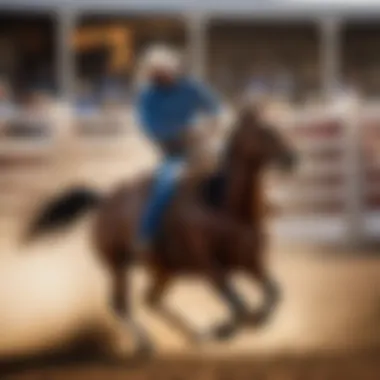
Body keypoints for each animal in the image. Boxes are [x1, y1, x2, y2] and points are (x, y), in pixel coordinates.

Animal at [25, 106, 296, 356]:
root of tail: (103, 200)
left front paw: (243, 323)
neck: (222, 205)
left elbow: (274, 292)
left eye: (281, 124)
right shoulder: (209, 265)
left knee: (151, 300)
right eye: (265, 130)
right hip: (117, 264)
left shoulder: (251, 262)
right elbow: (239, 304)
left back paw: (197, 334)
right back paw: (146, 343)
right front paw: (226, 328)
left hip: (163, 269)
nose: (292, 158)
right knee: (121, 304)